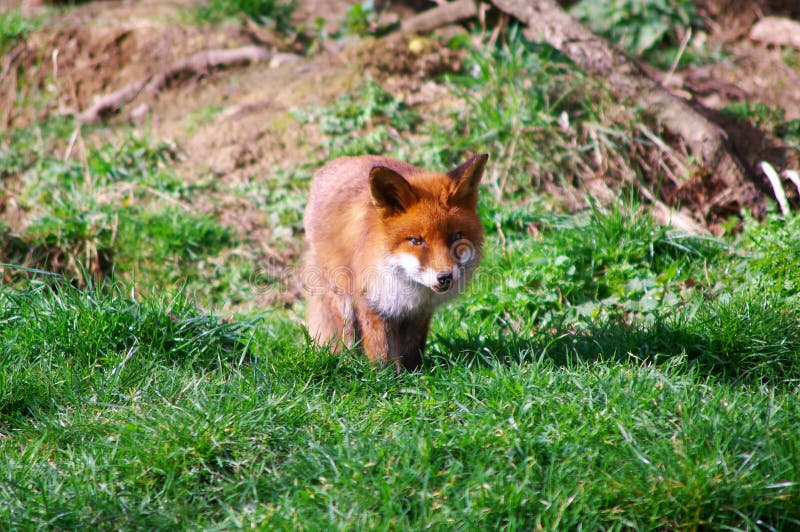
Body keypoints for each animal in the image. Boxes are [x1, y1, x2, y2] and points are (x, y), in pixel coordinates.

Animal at [302, 153, 488, 372]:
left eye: (456, 237)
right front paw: (383, 377)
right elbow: (380, 351)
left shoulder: (418, 312)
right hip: (342, 300)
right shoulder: (372, 301)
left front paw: (412, 375)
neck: (406, 283)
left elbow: (411, 350)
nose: (445, 277)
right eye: (416, 241)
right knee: (346, 338)